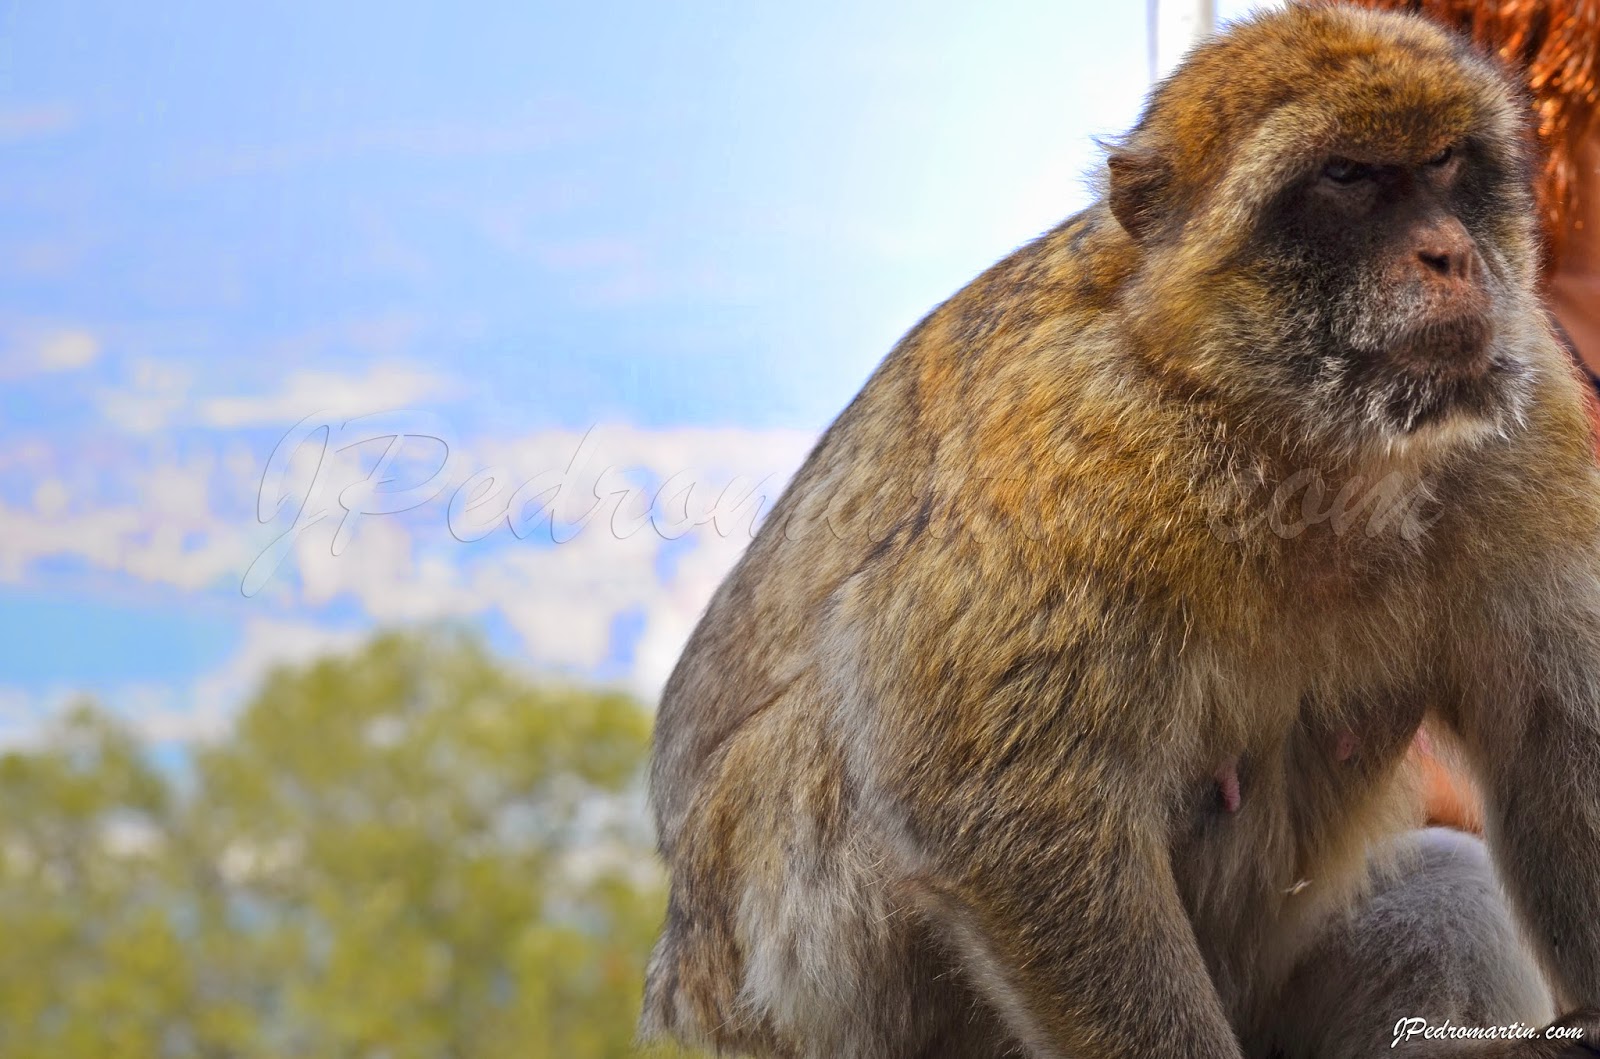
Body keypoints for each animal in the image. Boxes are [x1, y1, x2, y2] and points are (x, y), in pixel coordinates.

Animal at [640, 5, 1600, 1058]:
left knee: (1450, 897)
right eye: (1347, 177)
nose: (1450, 254)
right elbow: (985, 788)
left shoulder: (1526, 421)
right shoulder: (1078, 451)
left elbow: (1556, 741)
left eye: (1443, 164)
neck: (1297, 435)